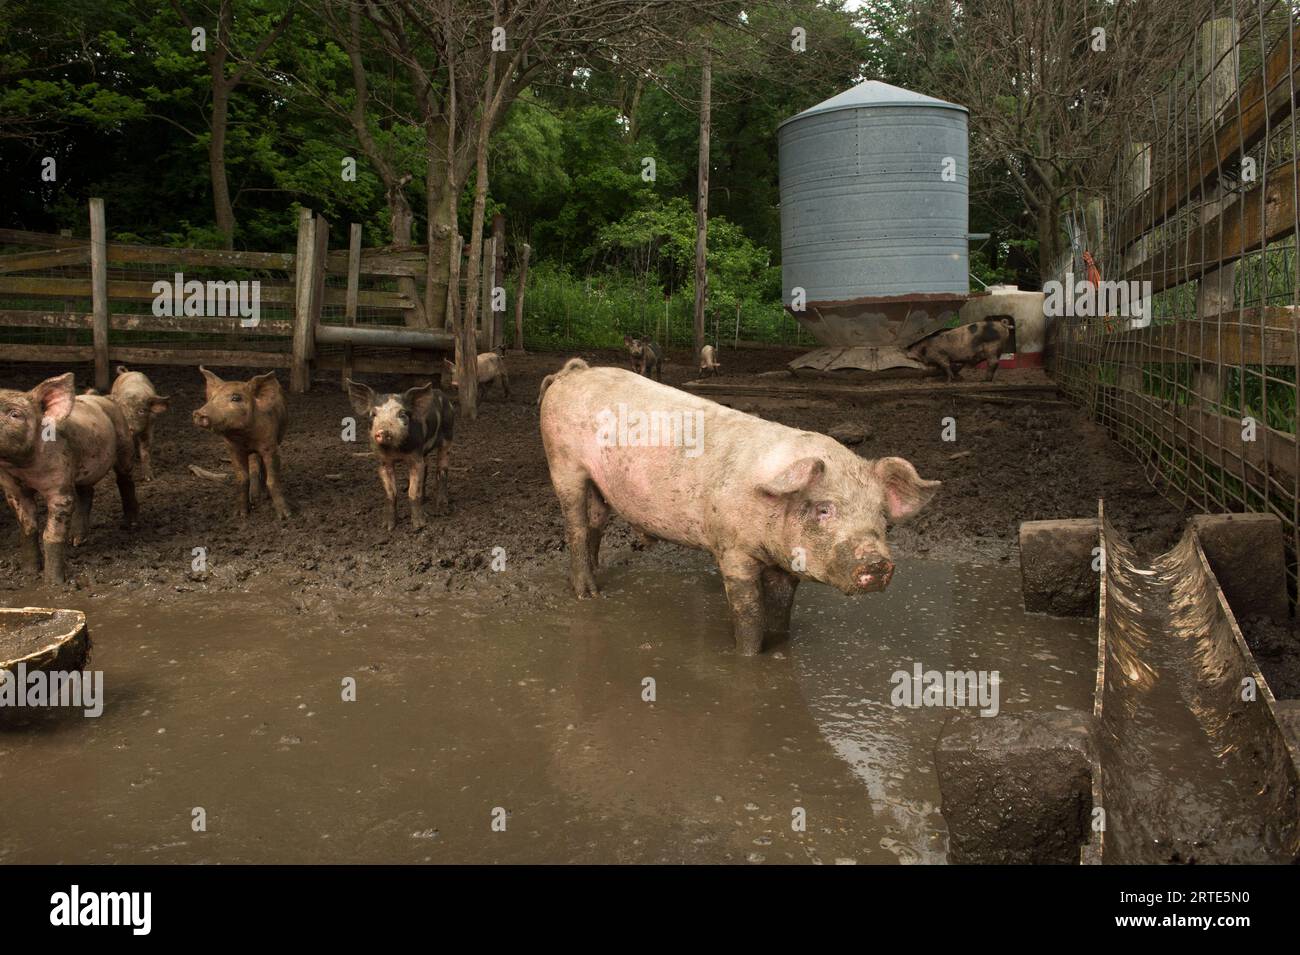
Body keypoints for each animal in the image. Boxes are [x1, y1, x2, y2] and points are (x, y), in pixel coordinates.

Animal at [0, 373, 138, 585]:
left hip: (124, 442)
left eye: (15, 414)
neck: (24, 468)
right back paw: (76, 542)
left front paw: (53, 583)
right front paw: (29, 573)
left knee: (125, 480)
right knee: (87, 492)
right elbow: (28, 529)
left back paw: (130, 525)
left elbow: (52, 534)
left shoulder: (60, 490)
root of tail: (100, 397)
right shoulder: (13, 491)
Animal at [191, 367, 291, 520]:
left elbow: (272, 478)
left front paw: (285, 516)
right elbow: (242, 478)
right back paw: (255, 497)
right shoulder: (234, 449)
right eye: (212, 397)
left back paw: (263, 497)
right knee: (255, 464)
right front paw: (240, 515)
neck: (245, 437)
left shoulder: (271, 446)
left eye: (236, 398)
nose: (198, 413)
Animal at [346, 379, 454, 529]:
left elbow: (412, 492)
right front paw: (387, 527)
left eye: (402, 414)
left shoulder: (415, 457)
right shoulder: (384, 462)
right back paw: (425, 500)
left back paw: (442, 510)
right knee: (426, 467)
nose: (383, 431)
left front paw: (419, 526)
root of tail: (442, 394)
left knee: (442, 471)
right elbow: (391, 493)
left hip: (448, 435)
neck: (396, 450)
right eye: (373, 414)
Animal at [538, 359, 940, 655]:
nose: (877, 561)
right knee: (575, 524)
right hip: (564, 463)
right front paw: (748, 656)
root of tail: (573, 373)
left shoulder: (785, 562)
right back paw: (587, 593)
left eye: (882, 517)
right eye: (824, 509)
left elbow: (781, 608)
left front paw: (781, 646)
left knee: (595, 522)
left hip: (598, 484)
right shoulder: (732, 550)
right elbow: (749, 612)